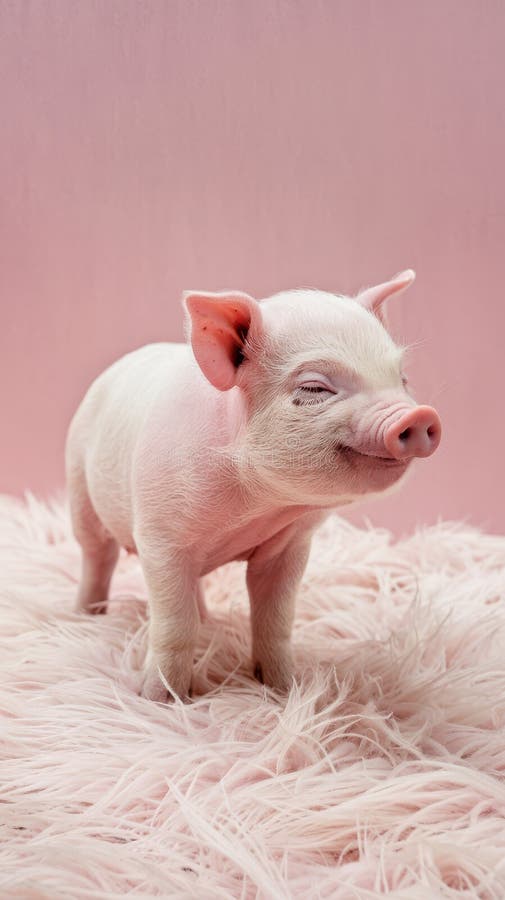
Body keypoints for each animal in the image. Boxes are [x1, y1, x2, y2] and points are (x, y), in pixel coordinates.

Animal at [65, 269, 441, 702]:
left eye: (402, 379)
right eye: (314, 388)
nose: (418, 415)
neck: (254, 507)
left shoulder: (289, 544)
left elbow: (275, 620)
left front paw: (285, 689)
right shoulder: (160, 537)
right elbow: (175, 624)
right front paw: (161, 699)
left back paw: (207, 617)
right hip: (80, 489)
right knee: (98, 556)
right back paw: (85, 616)